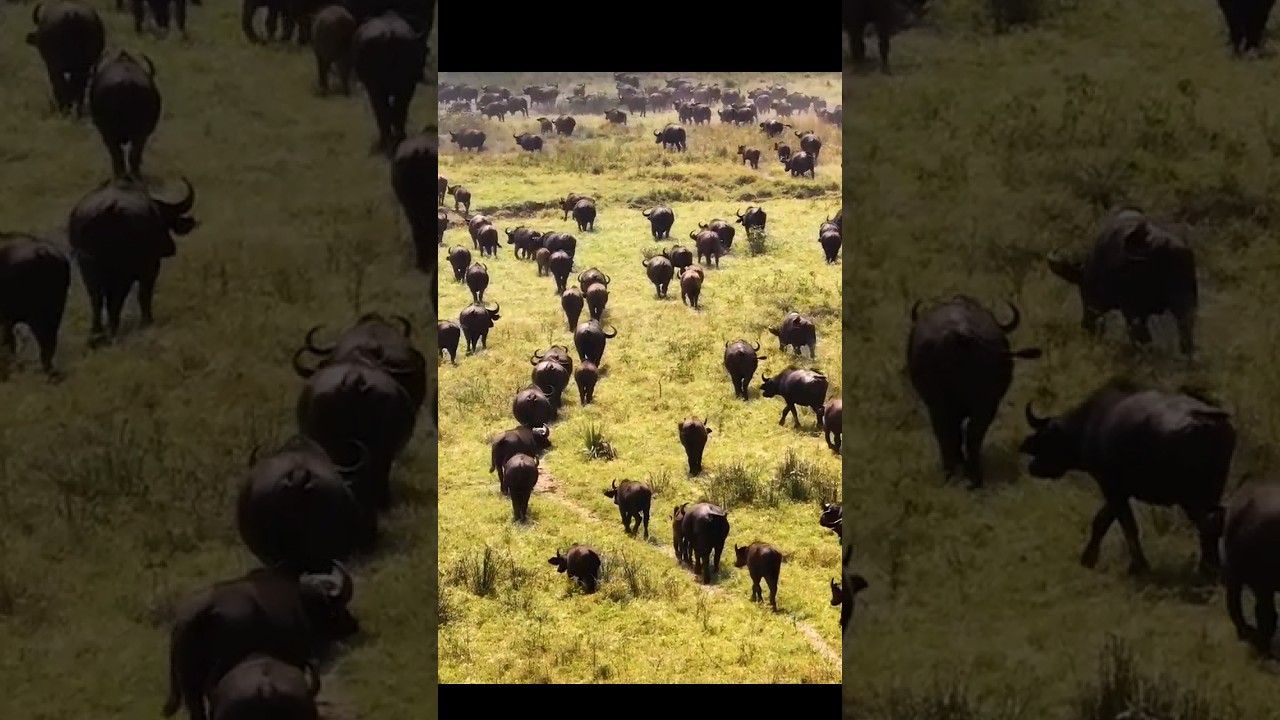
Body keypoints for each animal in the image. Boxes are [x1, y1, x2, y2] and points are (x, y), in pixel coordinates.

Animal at [68, 176, 198, 344]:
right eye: (165, 222)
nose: (170, 248)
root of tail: (108, 211)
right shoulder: (150, 269)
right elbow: (144, 295)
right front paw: (147, 321)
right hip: (122, 273)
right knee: (115, 300)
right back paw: (112, 330)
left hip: (89, 271)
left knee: (96, 300)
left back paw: (96, 335)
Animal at [907, 297, 1042, 487]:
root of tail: (958, 335)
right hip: (979, 405)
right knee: (968, 434)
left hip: (947, 405)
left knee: (953, 434)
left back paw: (956, 472)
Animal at [1020, 378, 1236, 576]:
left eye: (1046, 437)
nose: (1033, 467)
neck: (1091, 423)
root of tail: (1206, 421)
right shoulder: (1120, 491)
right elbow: (1103, 521)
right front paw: (1089, 558)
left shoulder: (1111, 487)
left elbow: (1125, 525)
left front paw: (1137, 566)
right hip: (1211, 493)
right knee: (1214, 522)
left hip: (1192, 497)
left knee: (1208, 524)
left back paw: (1207, 568)